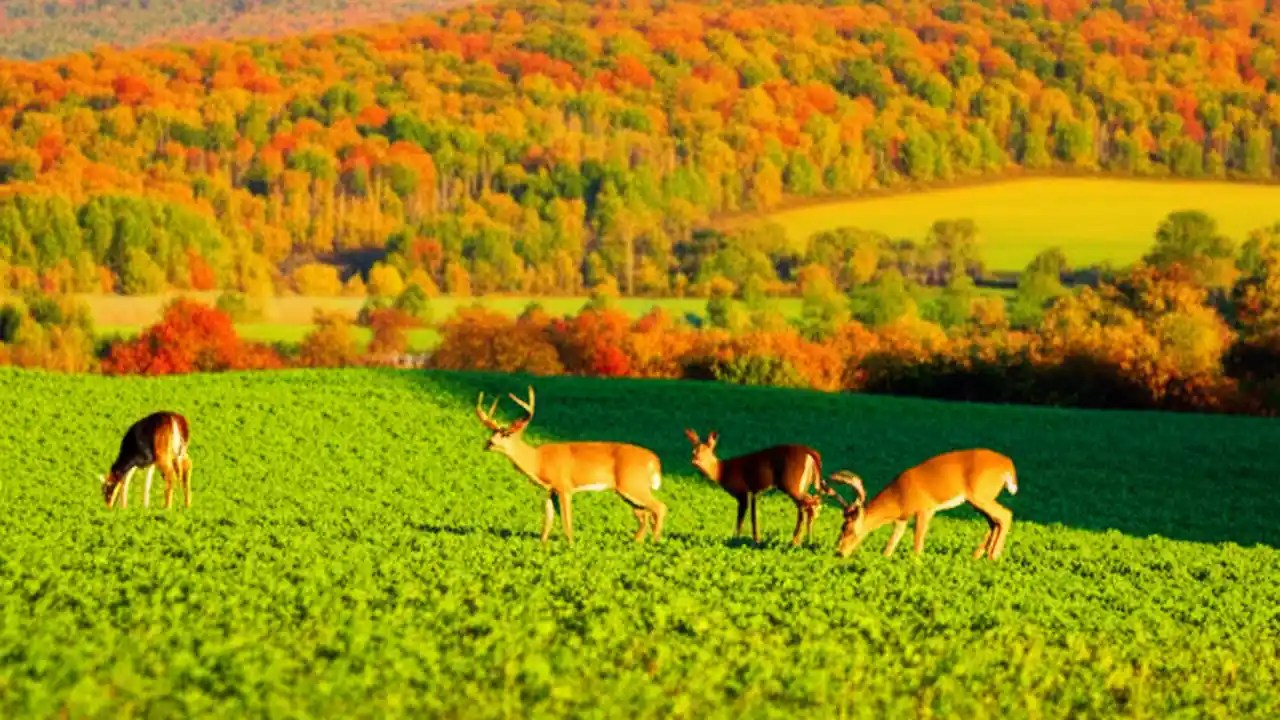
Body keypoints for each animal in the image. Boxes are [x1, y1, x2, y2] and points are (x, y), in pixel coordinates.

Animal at [475, 386, 668, 545]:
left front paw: (571, 544)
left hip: (633, 484)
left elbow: (566, 521)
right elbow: (548, 520)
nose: (488, 443)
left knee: (659, 507)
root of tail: (654, 460)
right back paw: (636, 542)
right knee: (644, 515)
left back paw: (655, 542)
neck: (538, 460)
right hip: (627, 490)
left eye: (506, 434)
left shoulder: (564, 486)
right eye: (493, 433)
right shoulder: (549, 490)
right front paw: (542, 544)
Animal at [683, 429, 827, 546]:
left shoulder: (742, 491)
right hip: (802, 485)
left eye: (706, 451)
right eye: (693, 452)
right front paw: (756, 540)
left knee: (806, 505)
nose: (695, 461)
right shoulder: (754, 492)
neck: (722, 471)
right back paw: (807, 541)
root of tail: (810, 452)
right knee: (813, 503)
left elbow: (741, 519)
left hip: (791, 482)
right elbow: (754, 517)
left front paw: (735, 539)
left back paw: (795, 541)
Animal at [827, 448, 1018, 560]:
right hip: (978, 500)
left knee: (1005, 515)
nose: (839, 552)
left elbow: (918, 541)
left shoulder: (925, 509)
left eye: (847, 528)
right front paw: (885, 559)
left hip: (980, 496)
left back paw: (994, 556)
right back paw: (978, 556)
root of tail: (1008, 465)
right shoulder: (902, 518)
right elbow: (892, 543)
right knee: (994, 522)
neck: (899, 495)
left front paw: (916, 563)